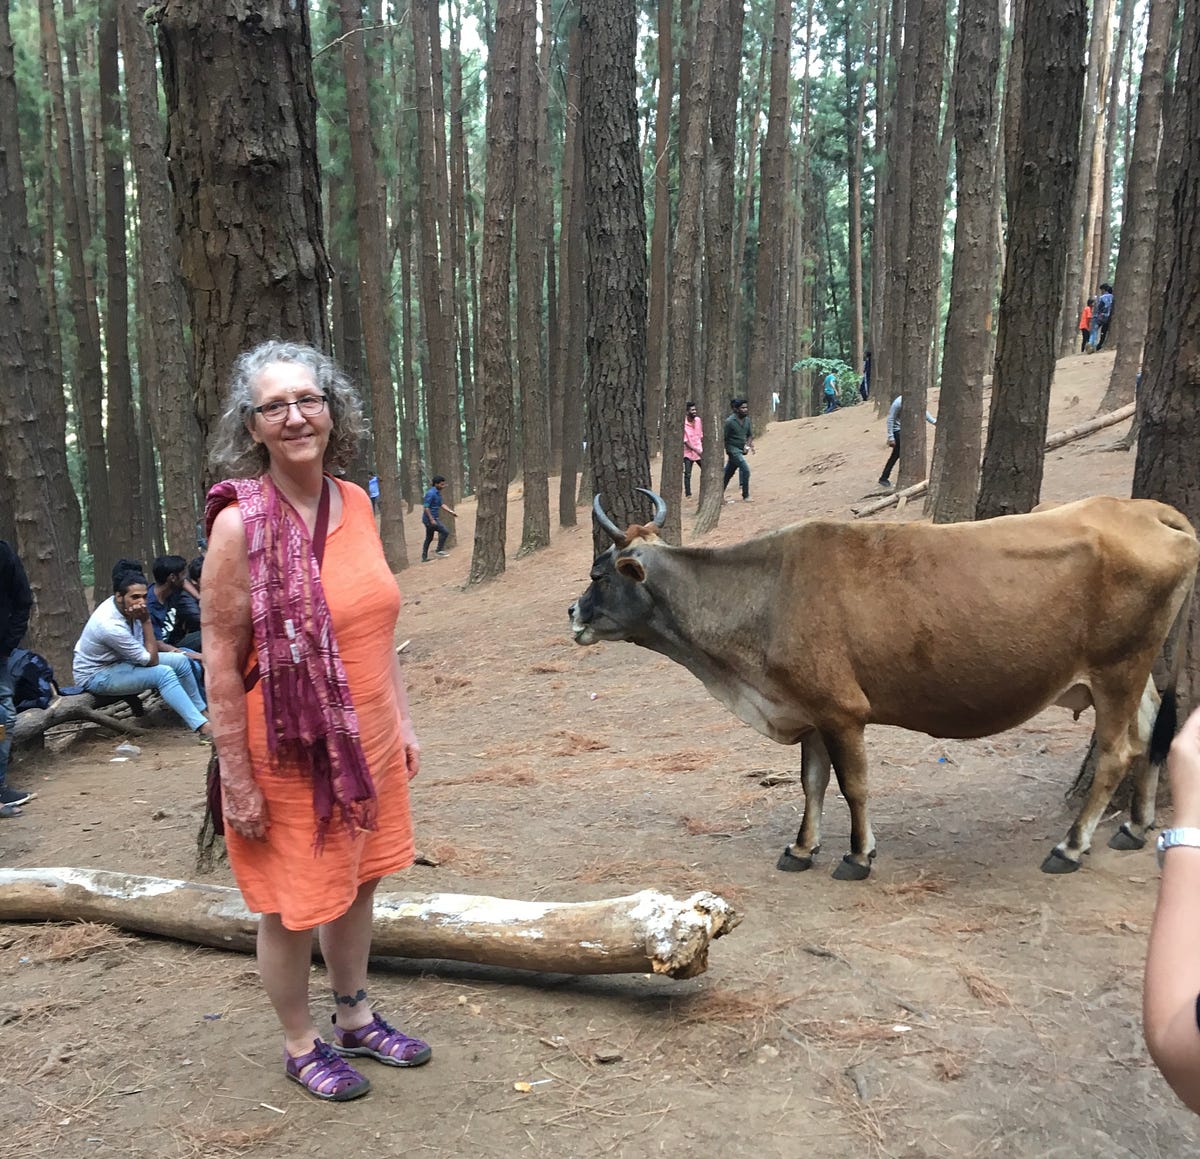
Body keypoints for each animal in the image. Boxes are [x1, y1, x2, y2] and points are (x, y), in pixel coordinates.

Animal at [568, 490, 1199, 880]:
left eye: (600, 573)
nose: (572, 611)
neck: (767, 590)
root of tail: (1147, 511)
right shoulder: (810, 710)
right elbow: (812, 783)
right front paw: (802, 847)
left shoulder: (842, 710)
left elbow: (854, 786)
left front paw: (857, 856)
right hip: (1134, 670)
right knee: (1150, 734)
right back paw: (1135, 827)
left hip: (1116, 669)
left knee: (1117, 751)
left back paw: (1069, 846)